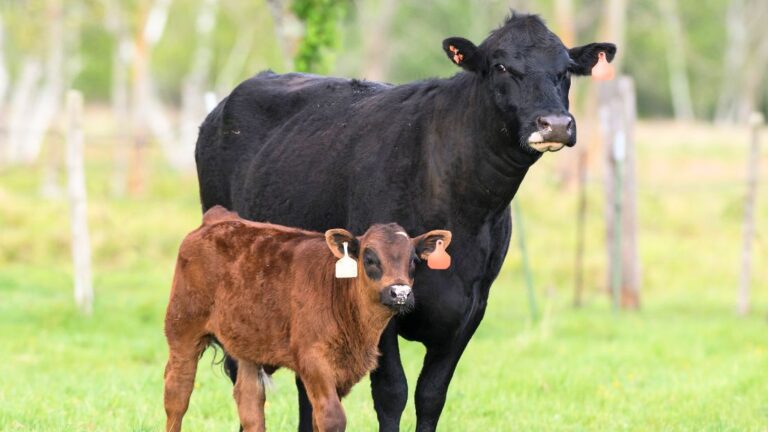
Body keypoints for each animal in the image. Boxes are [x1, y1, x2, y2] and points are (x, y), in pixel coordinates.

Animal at [163, 205, 452, 432]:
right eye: (370, 259)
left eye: (413, 261)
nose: (400, 293)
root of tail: (217, 219)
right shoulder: (313, 360)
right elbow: (332, 418)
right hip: (182, 330)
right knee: (177, 395)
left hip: (247, 342)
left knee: (250, 403)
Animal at [194, 12, 616, 432]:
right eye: (501, 66)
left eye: (566, 70)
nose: (555, 124)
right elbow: (392, 392)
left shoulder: (471, 308)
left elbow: (431, 395)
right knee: (245, 376)